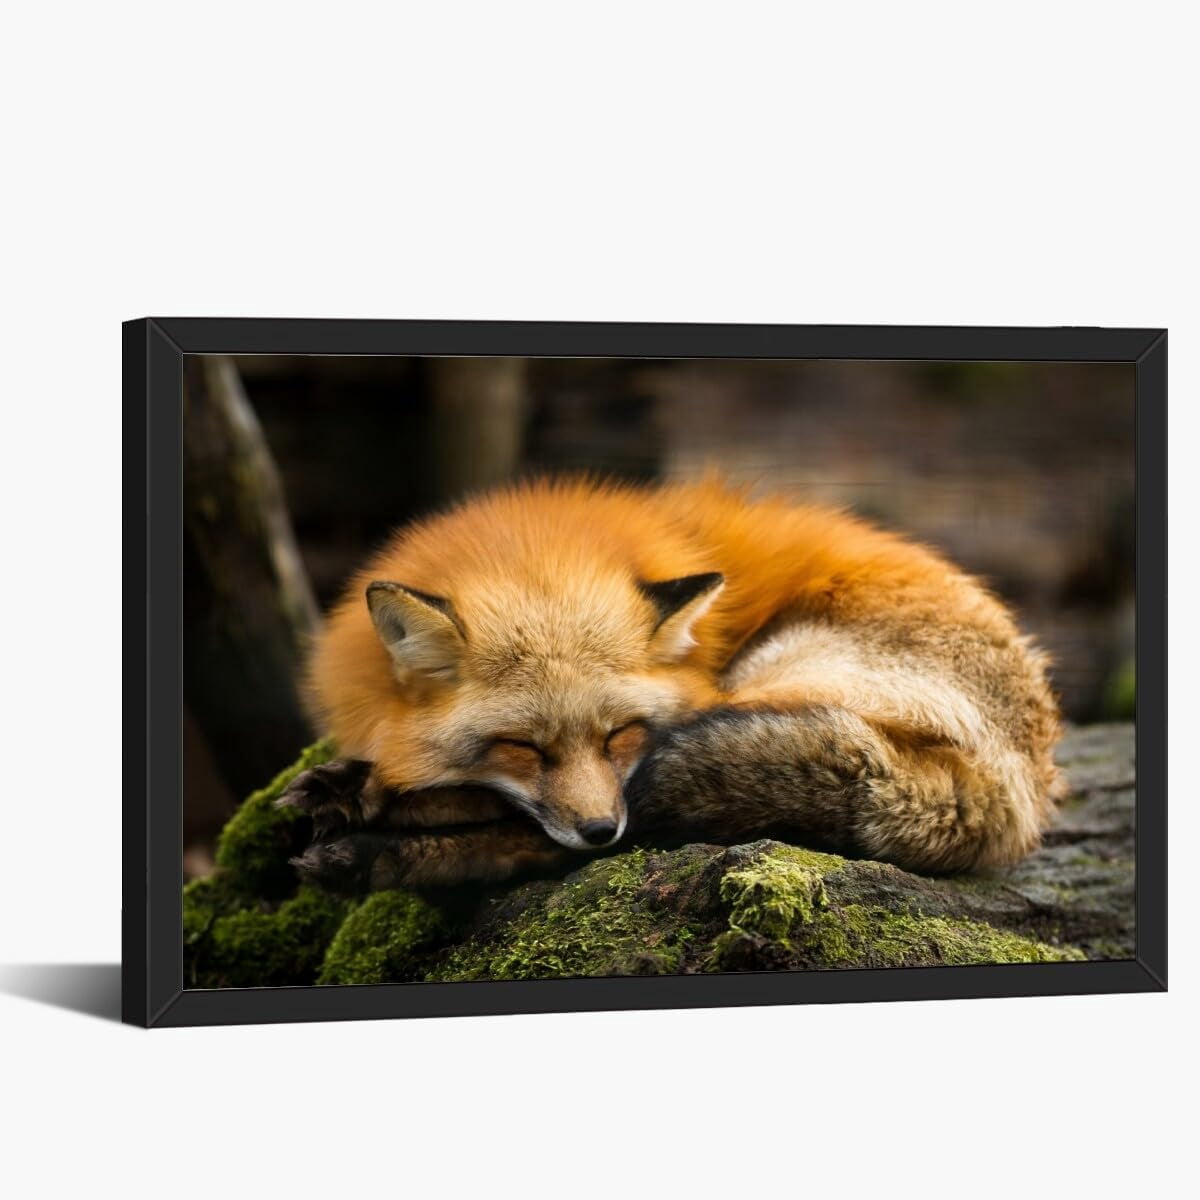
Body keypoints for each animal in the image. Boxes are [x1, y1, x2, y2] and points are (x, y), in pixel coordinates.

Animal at [281, 475, 1064, 891]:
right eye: (523, 748)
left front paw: (371, 799)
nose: (598, 829)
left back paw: (374, 839)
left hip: (769, 682)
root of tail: (1024, 787)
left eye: (620, 735)